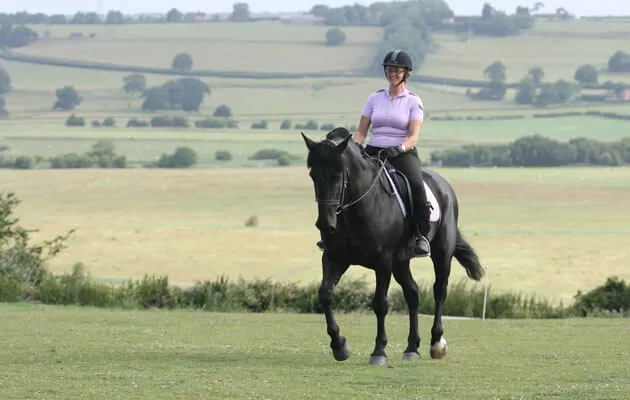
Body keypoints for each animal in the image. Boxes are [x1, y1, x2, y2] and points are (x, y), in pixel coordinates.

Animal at [304, 127, 486, 366]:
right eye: (313, 175)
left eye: (339, 174)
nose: (325, 224)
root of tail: (443, 184)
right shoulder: (335, 258)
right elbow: (325, 294)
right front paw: (340, 345)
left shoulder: (383, 263)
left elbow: (380, 304)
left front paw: (378, 352)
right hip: (401, 261)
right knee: (413, 293)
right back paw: (412, 348)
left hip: (441, 253)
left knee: (439, 290)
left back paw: (436, 343)